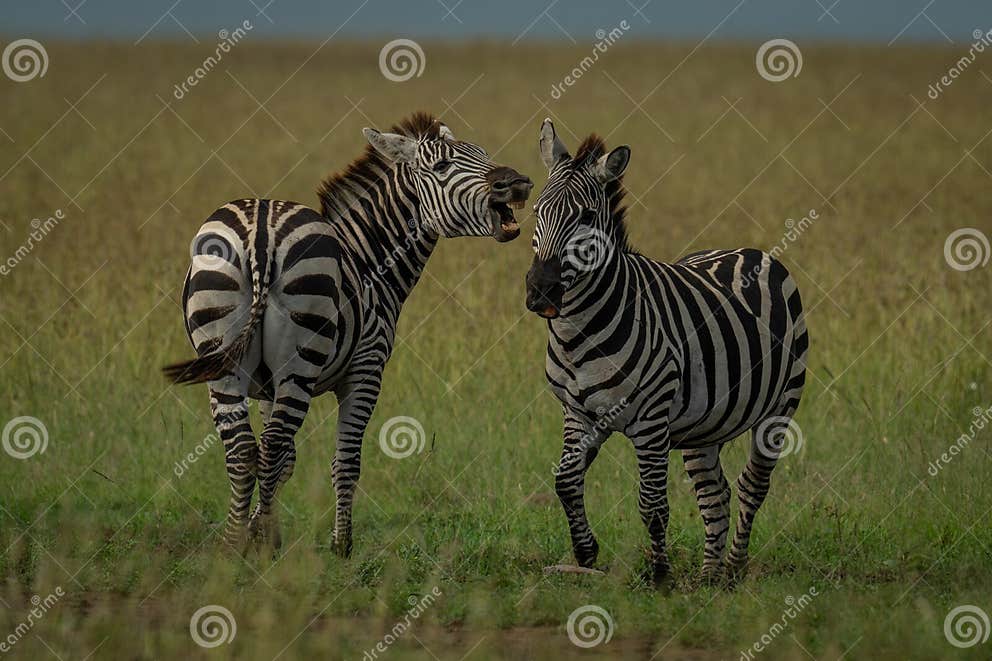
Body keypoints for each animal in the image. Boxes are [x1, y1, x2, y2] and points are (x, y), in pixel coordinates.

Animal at [162, 113, 532, 553]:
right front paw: (339, 545)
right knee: (269, 448)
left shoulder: (267, 387)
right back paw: (262, 549)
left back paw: (232, 547)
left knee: (244, 450)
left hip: (223, 360)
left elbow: (284, 460)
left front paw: (259, 530)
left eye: (484, 154)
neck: (370, 259)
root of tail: (261, 232)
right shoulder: (367, 371)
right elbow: (345, 461)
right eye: (442, 166)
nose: (517, 182)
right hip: (299, 363)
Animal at [525, 119, 808, 586]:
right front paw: (585, 553)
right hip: (703, 425)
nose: (540, 292)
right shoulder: (579, 411)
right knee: (715, 492)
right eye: (535, 212)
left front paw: (659, 574)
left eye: (586, 217)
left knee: (752, 486)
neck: (578, 336)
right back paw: (709, 575)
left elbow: (652, 502)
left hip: (781, 404)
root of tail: (749, 249)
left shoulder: (652, 419)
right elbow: (566, 480)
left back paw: (733, 567)